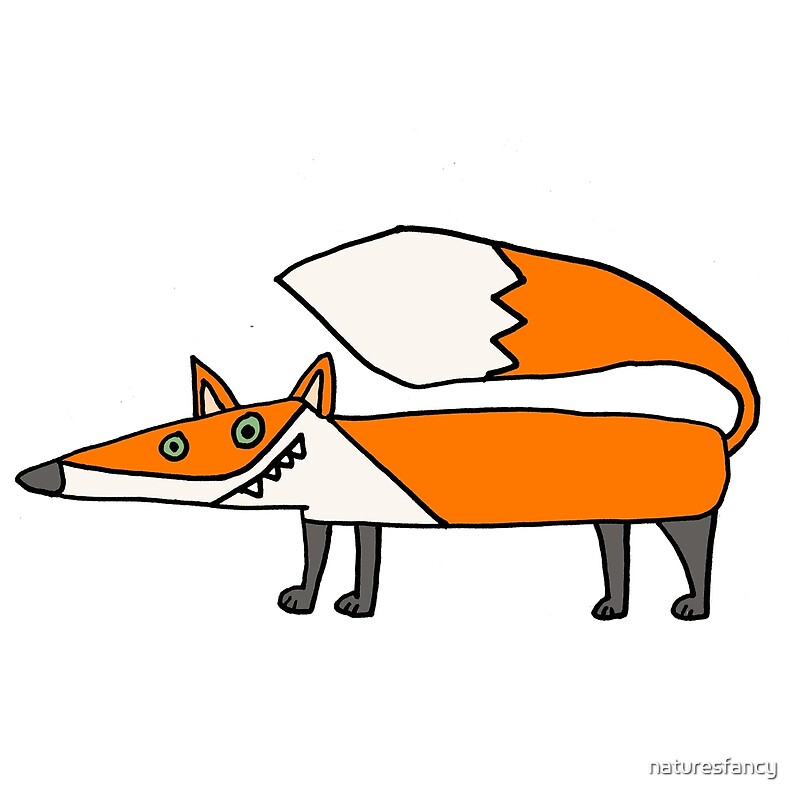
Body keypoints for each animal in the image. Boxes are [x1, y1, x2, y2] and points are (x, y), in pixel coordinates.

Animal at [16, 226, 759, 620]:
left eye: (178, 444)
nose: (37, 475)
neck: (324, 455)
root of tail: (717, 434)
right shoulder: (327, 512)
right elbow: (325, 557)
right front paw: (311, 600)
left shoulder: (363, 508)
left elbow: (363, 562)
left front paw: (351, 607)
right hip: (612, 511)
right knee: (615, 548)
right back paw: (612, 608)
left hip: (684, 511)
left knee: (696, 552)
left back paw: (694, 608)